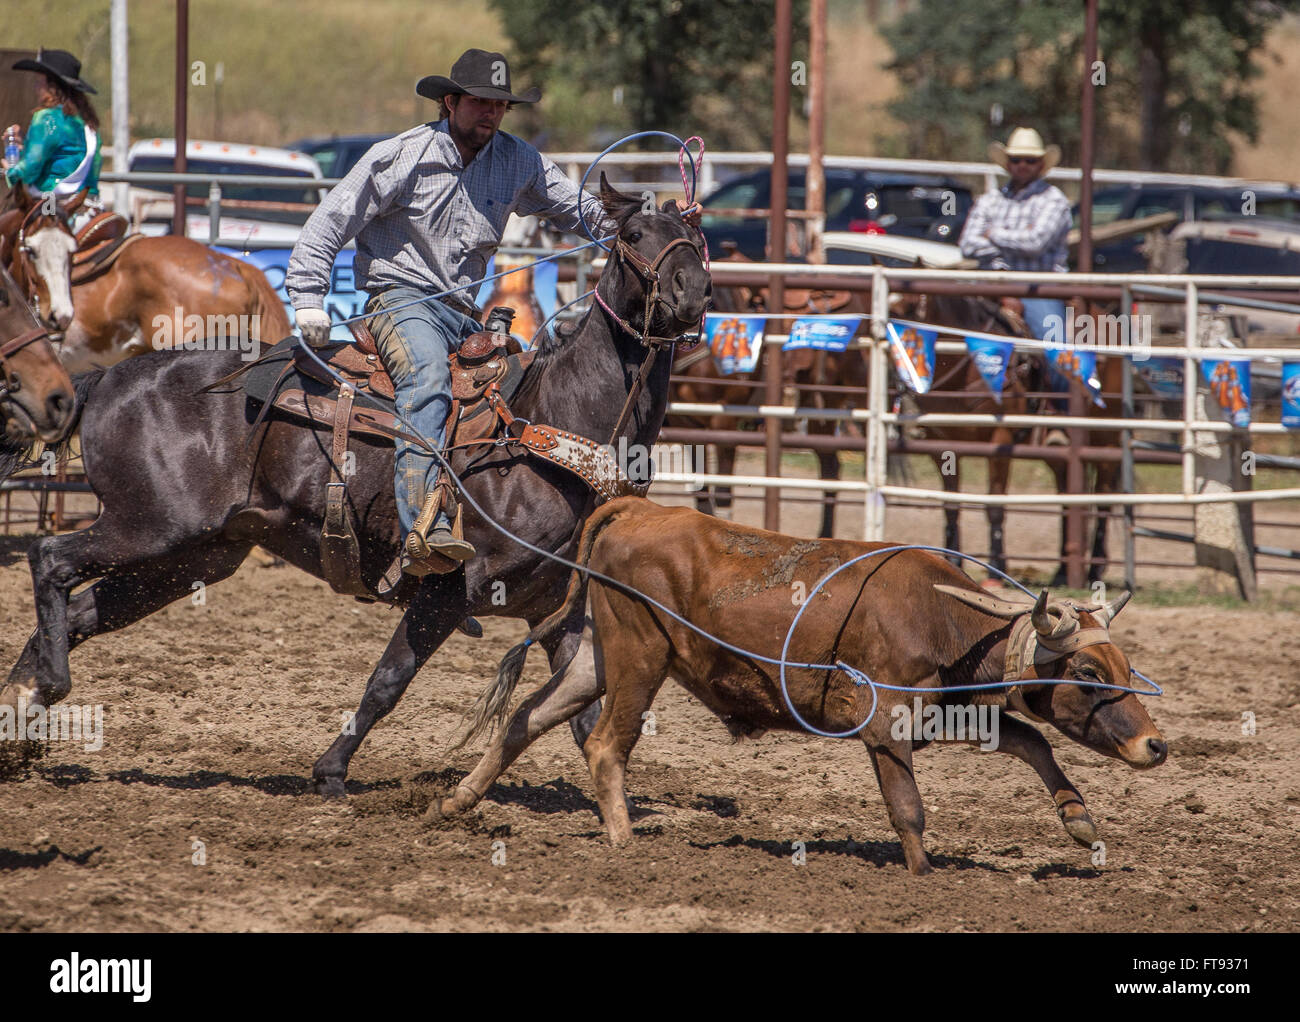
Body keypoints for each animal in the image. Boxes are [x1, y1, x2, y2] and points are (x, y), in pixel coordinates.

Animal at [0, 177, 710, 798]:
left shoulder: (551, 605)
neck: (549, 428)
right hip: (149, 526)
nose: (694, 289)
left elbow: (575, 711)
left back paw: (22, 713)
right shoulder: (449, 590)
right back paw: (47, 686)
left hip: (192, 556)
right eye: (635, 234)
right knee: (49, 558)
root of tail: (105, 380)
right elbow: (389, 681)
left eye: (697, 238)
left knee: (79, 610)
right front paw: (331, 771)